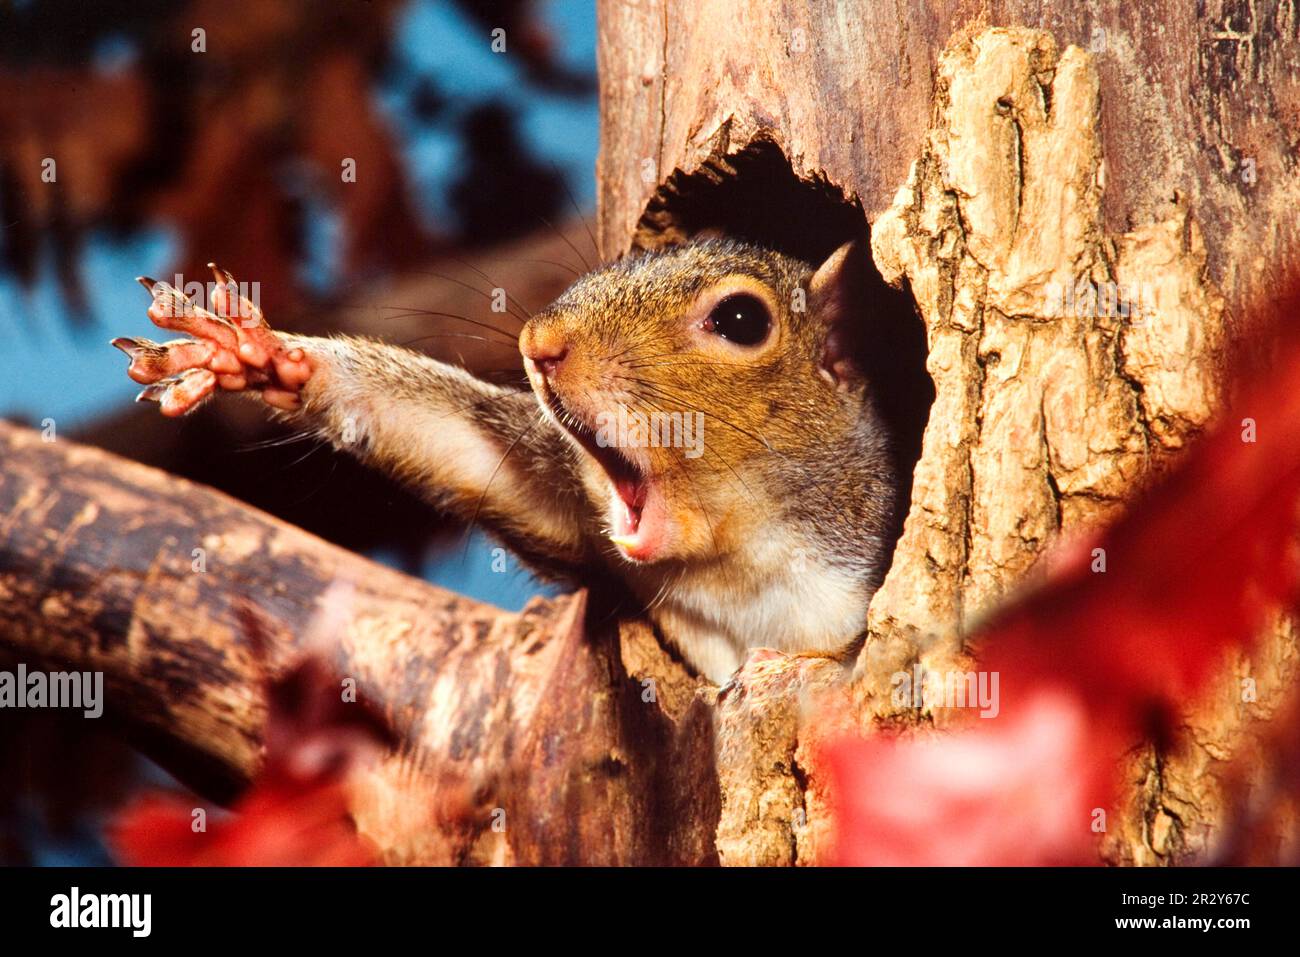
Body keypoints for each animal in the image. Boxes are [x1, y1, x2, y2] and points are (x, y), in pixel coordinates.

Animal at [112, 237, 898, 683]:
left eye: (740, 320)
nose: (540, 344)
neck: (744, 554)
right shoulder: (584, 523)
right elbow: (461, 440)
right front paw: (254, 355)